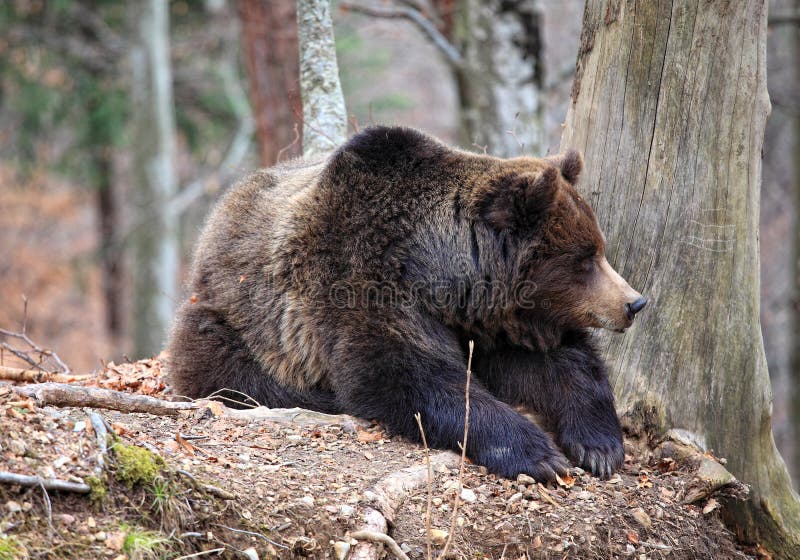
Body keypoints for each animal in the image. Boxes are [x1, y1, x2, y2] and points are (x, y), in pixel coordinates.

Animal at [167, 126, 647, 481]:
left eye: (597, 248)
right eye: (585, 259)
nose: (634, 302)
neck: (438, 273)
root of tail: (219, 215)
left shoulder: (493, 320)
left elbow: (558, 363)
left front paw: (599, 446)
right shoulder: (364, 283)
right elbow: (406, 376)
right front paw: (538, 454)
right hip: (236, 317)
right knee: (230, 370)